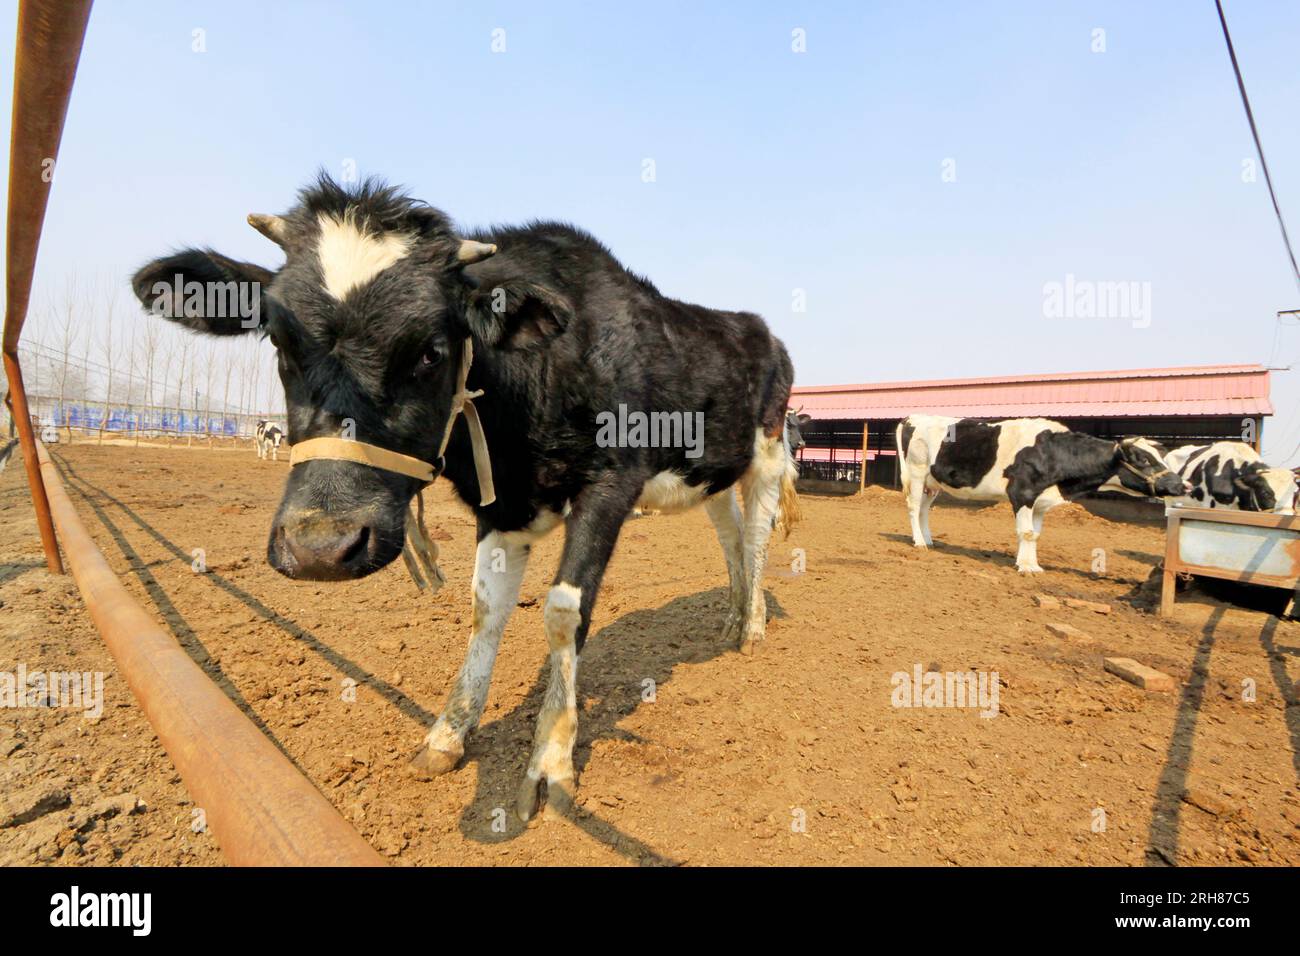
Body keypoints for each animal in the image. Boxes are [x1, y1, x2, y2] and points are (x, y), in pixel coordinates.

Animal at [131, 175, 799, 822]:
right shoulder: (502, 507)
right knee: (729, 532)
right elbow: (485, 608)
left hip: (768, 451)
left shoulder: (613, 483)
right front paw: (449, 733)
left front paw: (550, 761)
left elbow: (564, 613)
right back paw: (732, 615)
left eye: (431, 349)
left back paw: (754, 626)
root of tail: (756, 326)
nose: (321, 546)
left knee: (757, 535)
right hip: (710, 474)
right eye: (278, 343)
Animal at [896, 415, 1187, 573]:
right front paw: (1025, 566)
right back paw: (919, 542)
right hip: (916, 471)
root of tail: (913, 417)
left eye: (1162, 456)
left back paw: (928, 538)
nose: (1182, 485)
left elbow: (1034, 534)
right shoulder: (1022, 492)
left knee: (924, 508)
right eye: (1143, 459)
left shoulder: (1040, 501)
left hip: (933, 482)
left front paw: (1032, 564)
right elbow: (1025, 532)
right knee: (913, 506)